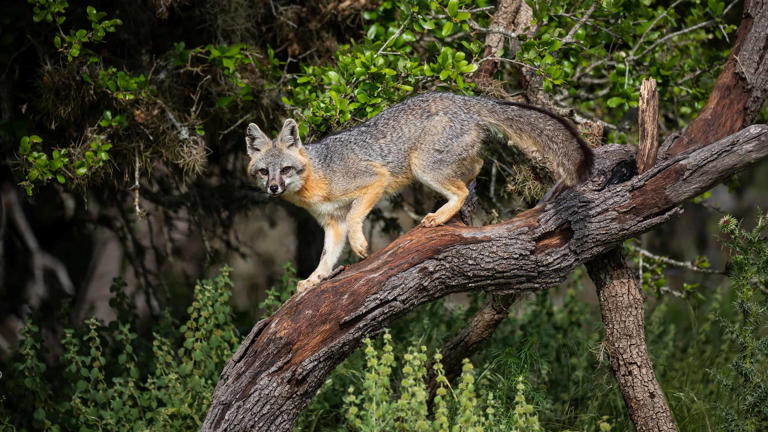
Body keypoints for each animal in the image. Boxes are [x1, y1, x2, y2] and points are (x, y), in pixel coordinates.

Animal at [245, 92, 594, 292]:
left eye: (285, 170)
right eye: (264, 172)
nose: (273, 188)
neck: (318, 176)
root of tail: (465, 98)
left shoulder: (374, 178)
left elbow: (357, 215)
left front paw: (360, 245)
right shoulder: (332, 223)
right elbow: (326, 257)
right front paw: (315, 279)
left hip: (421, 166)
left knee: (462, 188)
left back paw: (440, 217)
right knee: (478, 162)